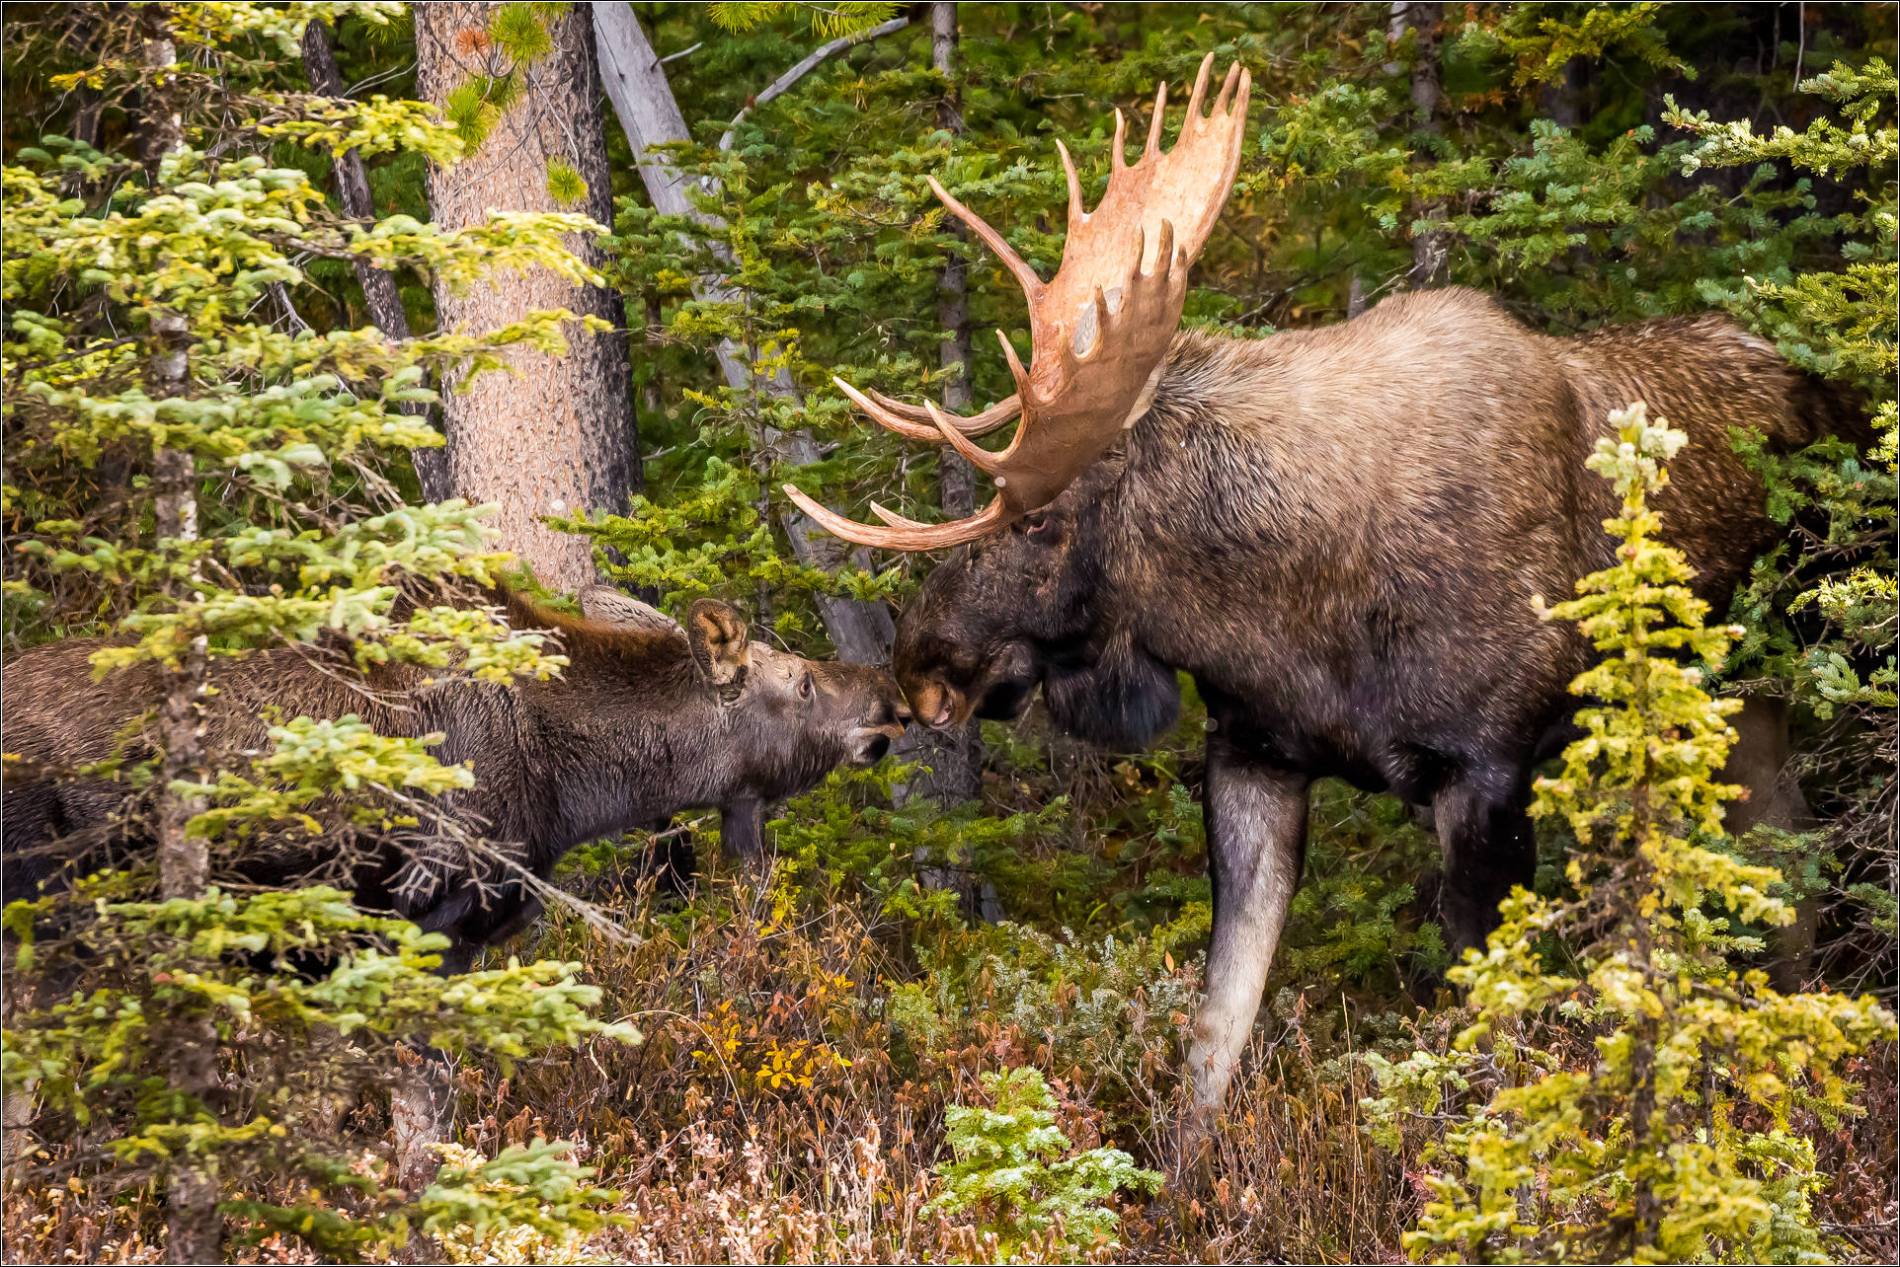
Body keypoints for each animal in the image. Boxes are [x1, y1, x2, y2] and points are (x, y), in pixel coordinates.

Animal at [783, 55, 1845, 1151]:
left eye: (1037, 522)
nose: (918, 667)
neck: (1298, 620)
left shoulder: (1488, 770)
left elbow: (1485, 1043)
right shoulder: (1254, 754)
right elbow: (1214, 1035)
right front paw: (1184, 1175)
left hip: (1778, 669)